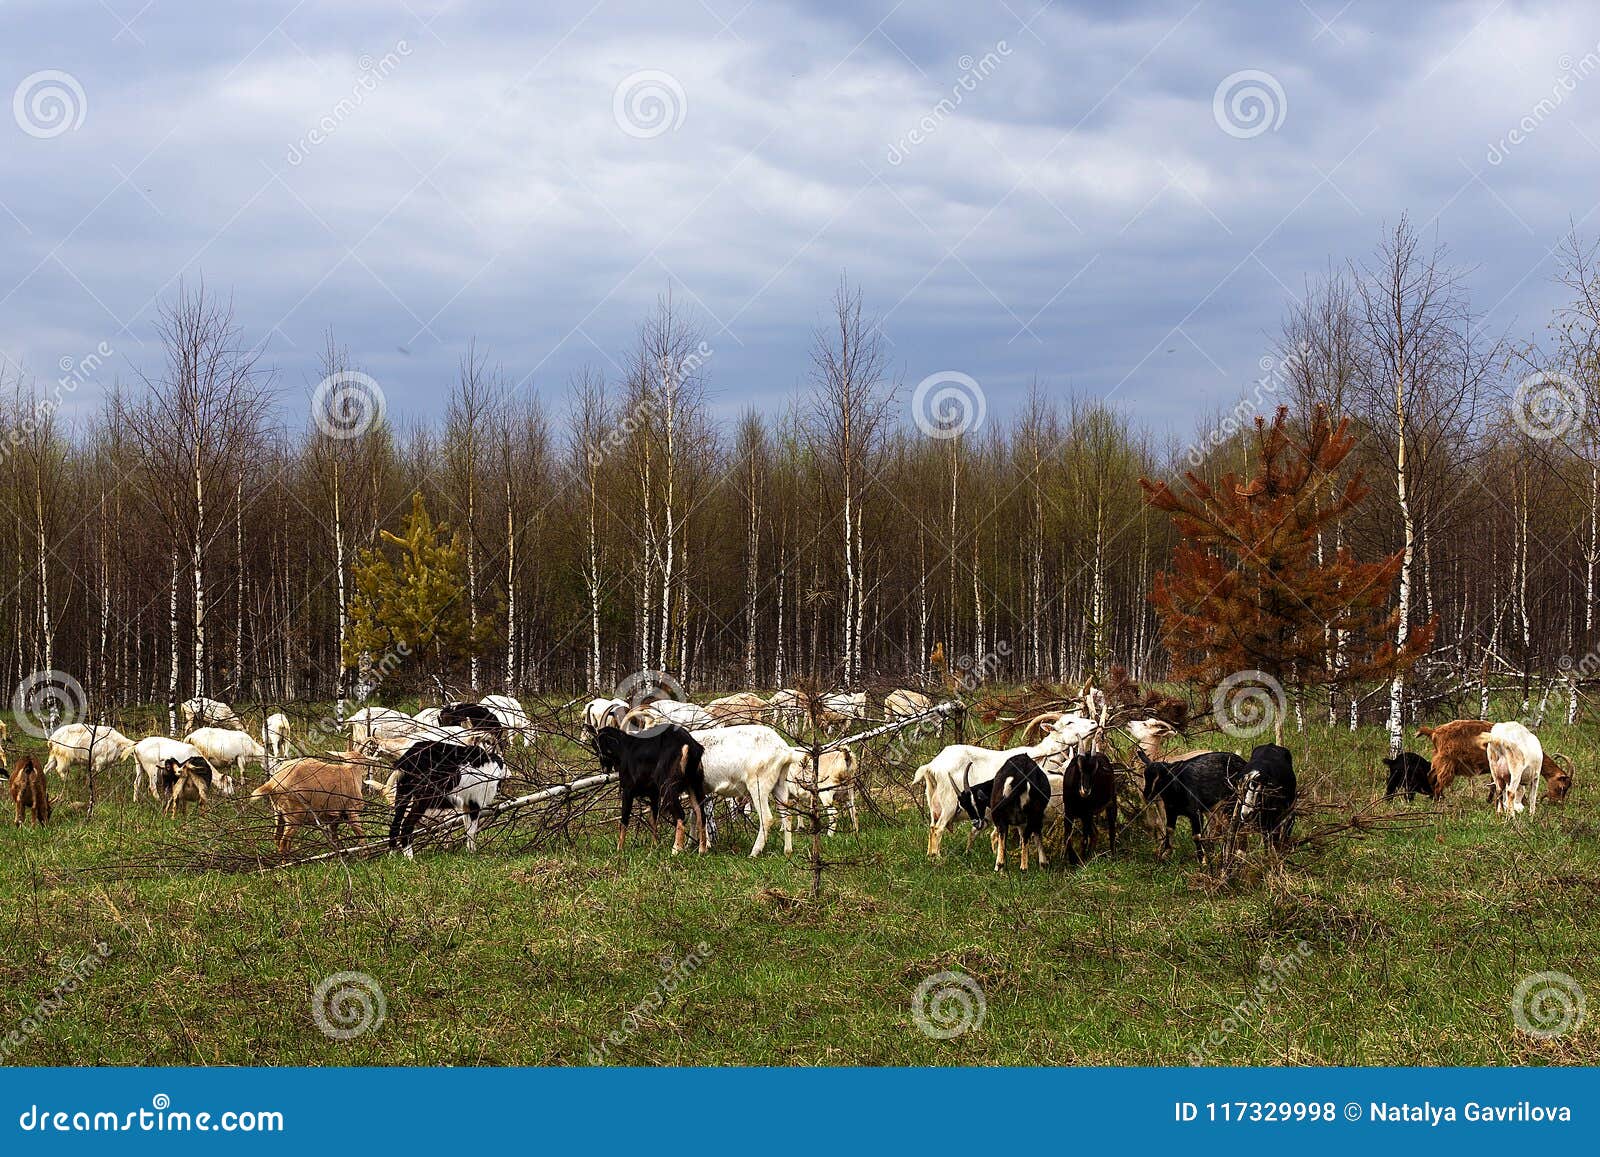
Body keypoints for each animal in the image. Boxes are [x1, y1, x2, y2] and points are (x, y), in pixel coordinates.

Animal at [592, 725, 708, 855]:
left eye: (598, 745)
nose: (604, 768)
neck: (624, 747)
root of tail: (689, 745)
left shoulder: (628, 790)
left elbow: (624, 819)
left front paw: (619, 849)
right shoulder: (654, 793)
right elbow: (653, 819)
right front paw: (655, 846)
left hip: (668, 786)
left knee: (681, 815)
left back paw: (676, 850)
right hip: (694, 784)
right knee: (701, 814)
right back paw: (702, 850)